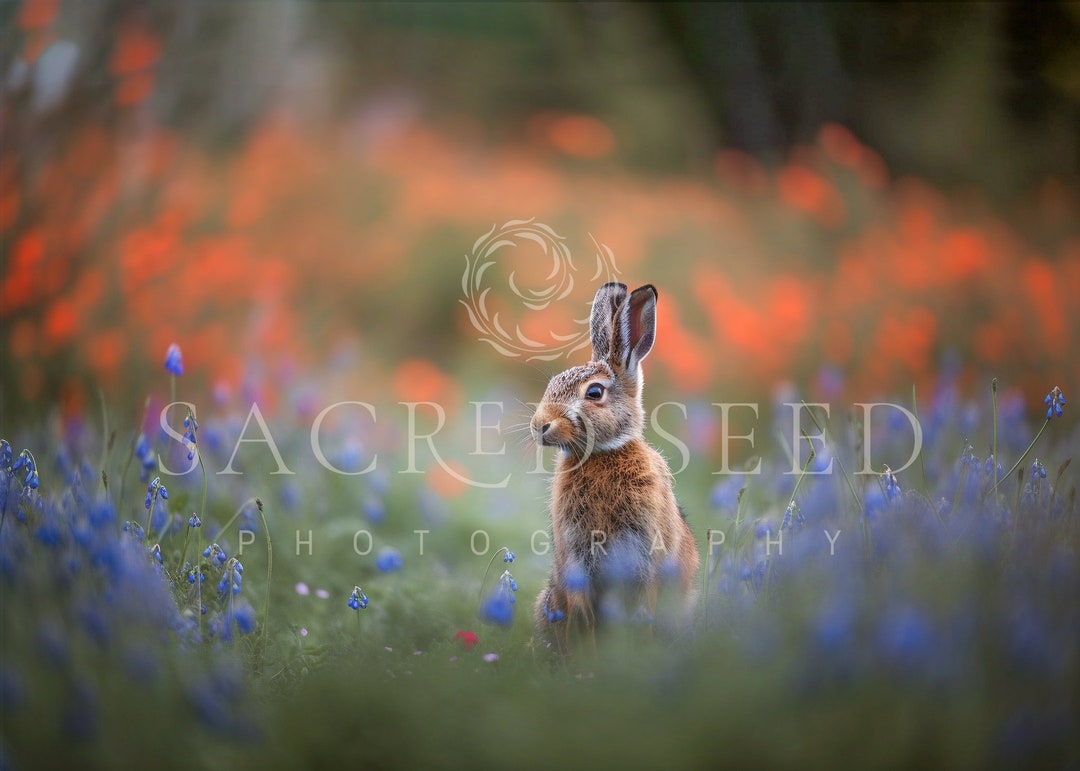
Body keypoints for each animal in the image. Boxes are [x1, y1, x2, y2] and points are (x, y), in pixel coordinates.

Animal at [531, 282, 699, 655]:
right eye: (551, 385)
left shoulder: (644, 554)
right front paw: (589, 658)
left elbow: (641, 611)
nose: (539, 426)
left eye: (594, 392)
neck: (599, 455)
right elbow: (582, 615)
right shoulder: (576, 556)